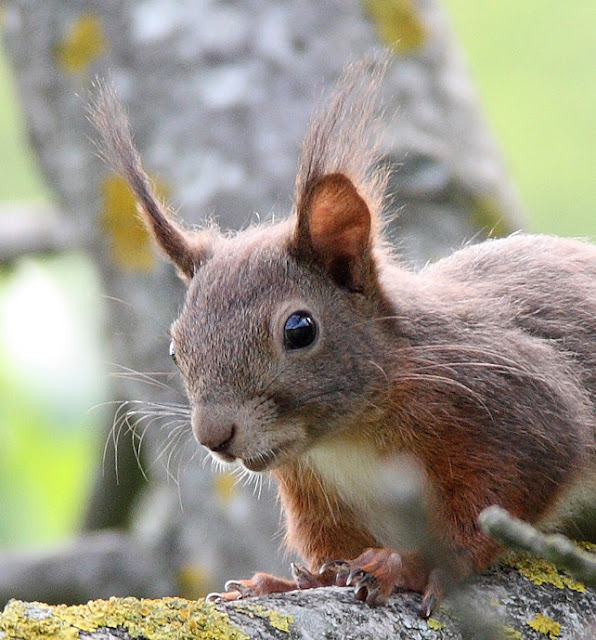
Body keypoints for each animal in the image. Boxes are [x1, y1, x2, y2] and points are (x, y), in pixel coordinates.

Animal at [90, 59, 596, 617]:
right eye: (175, 348)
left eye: (300, 329)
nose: (214, 436)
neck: (344, 441)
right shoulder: (316, 489)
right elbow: (331, 547)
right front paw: (290, 584)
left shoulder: (516, 406)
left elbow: (490, 508)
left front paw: (408, 568)